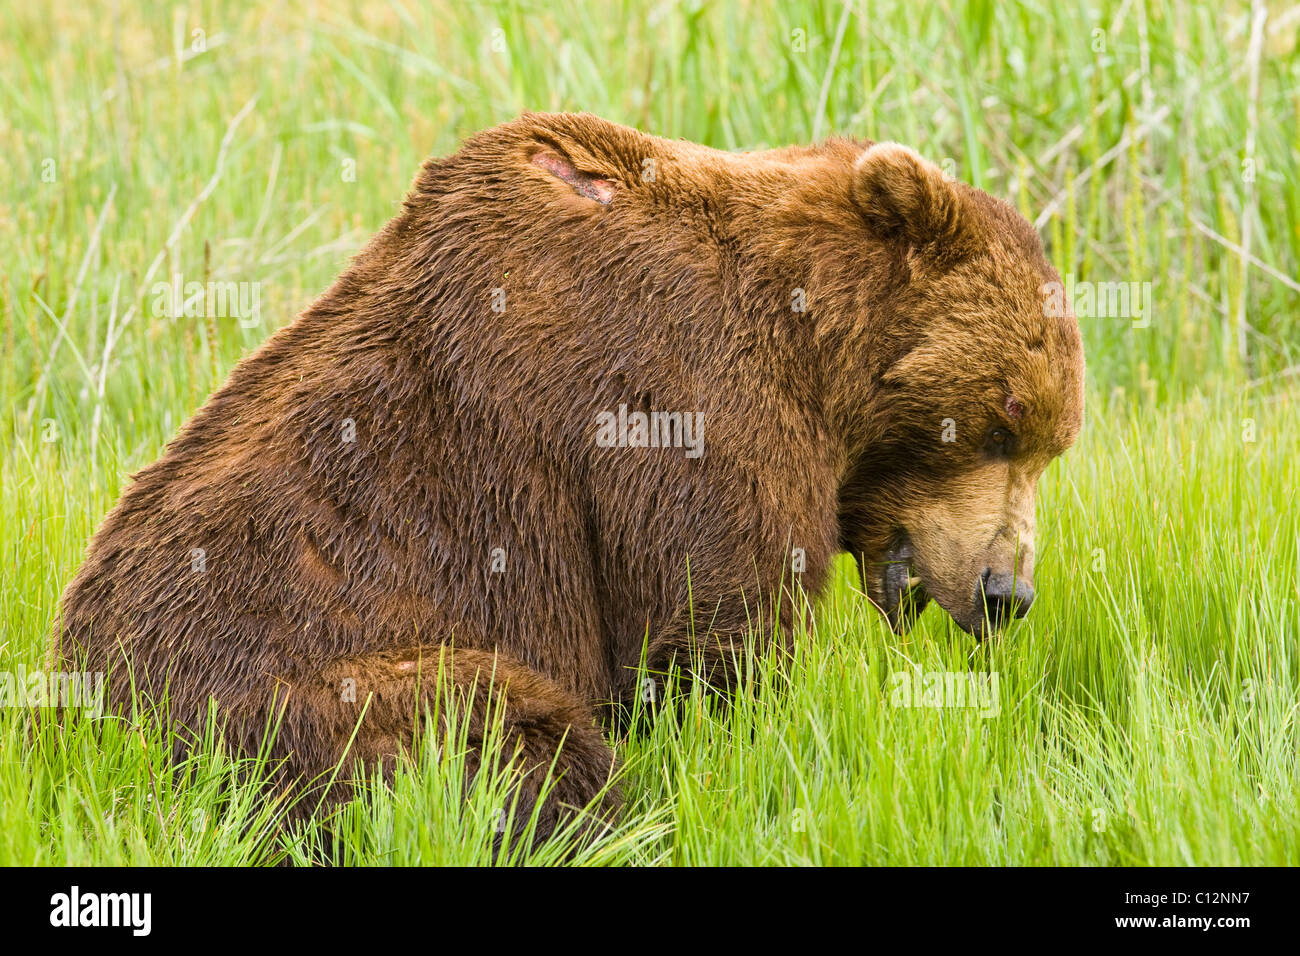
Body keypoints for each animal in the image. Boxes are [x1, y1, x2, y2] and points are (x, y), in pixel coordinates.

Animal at [52, 112, 1084, 841]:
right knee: (496, 718)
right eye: (1003, 419)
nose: (1007, 592)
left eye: (1051, 442)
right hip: (281, 698)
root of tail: (73, 728)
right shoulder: (676, 398)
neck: (816, 346)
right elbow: (711, 632)